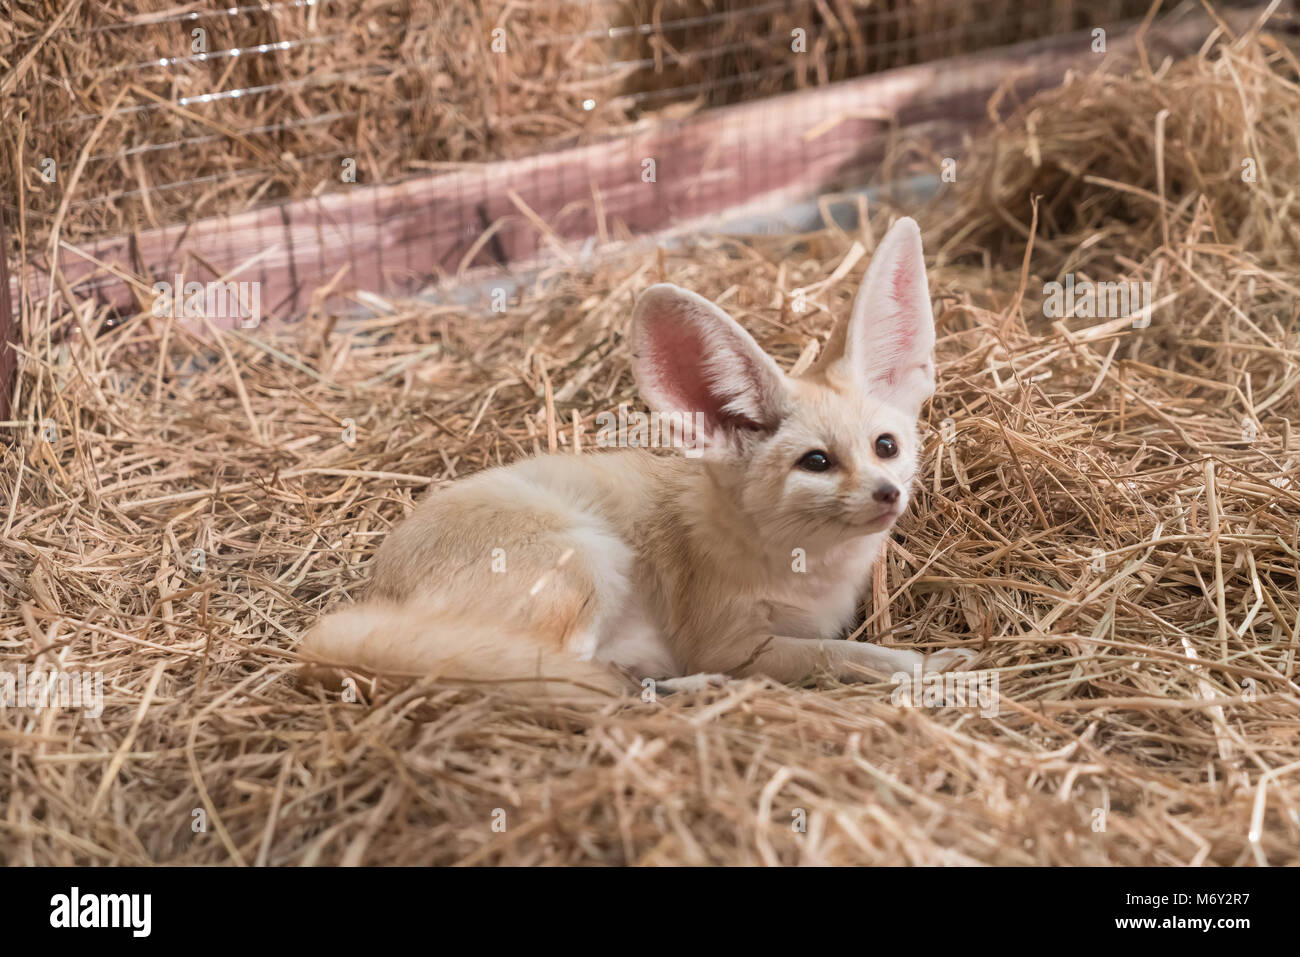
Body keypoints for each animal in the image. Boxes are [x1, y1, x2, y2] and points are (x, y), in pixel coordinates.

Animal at [299, 217, 973, 696]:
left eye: (885, 447)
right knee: (570, 672)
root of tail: (370, 597)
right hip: (591, 562)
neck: (806, 566)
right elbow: (849, 654)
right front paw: (932, 664)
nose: (888, 493)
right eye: (816, 462)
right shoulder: (736, 643)